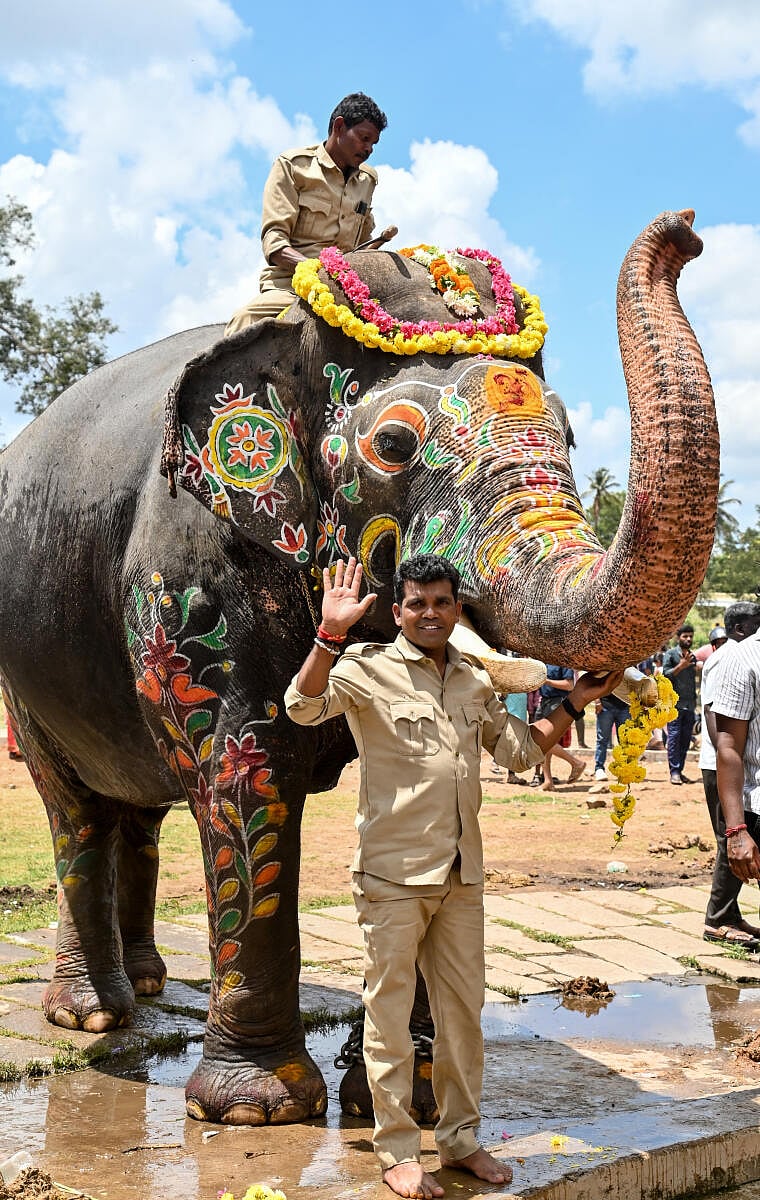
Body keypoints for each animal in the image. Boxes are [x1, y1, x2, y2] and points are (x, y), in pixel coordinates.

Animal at [0, 210, 718, 1126]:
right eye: (393, 444)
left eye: (568, 435)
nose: (686, 233)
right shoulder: (191, 580)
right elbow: (246, 778)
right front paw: (256, 1107)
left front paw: (405, 1102)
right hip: (25, 677)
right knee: (79, 812)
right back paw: (93, 1014)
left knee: (140, 806)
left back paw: (154, 982)